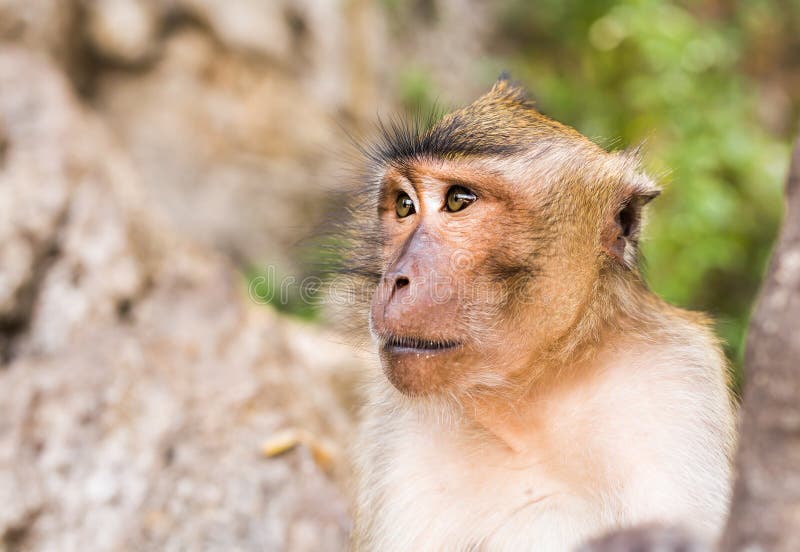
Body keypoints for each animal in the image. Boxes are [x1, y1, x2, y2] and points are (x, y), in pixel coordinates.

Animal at [336, 77, 737, 551]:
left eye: (458, 201)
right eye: (403, 205)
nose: (396, 278)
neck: (527, 398)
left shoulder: (676, 385)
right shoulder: (396, 436)